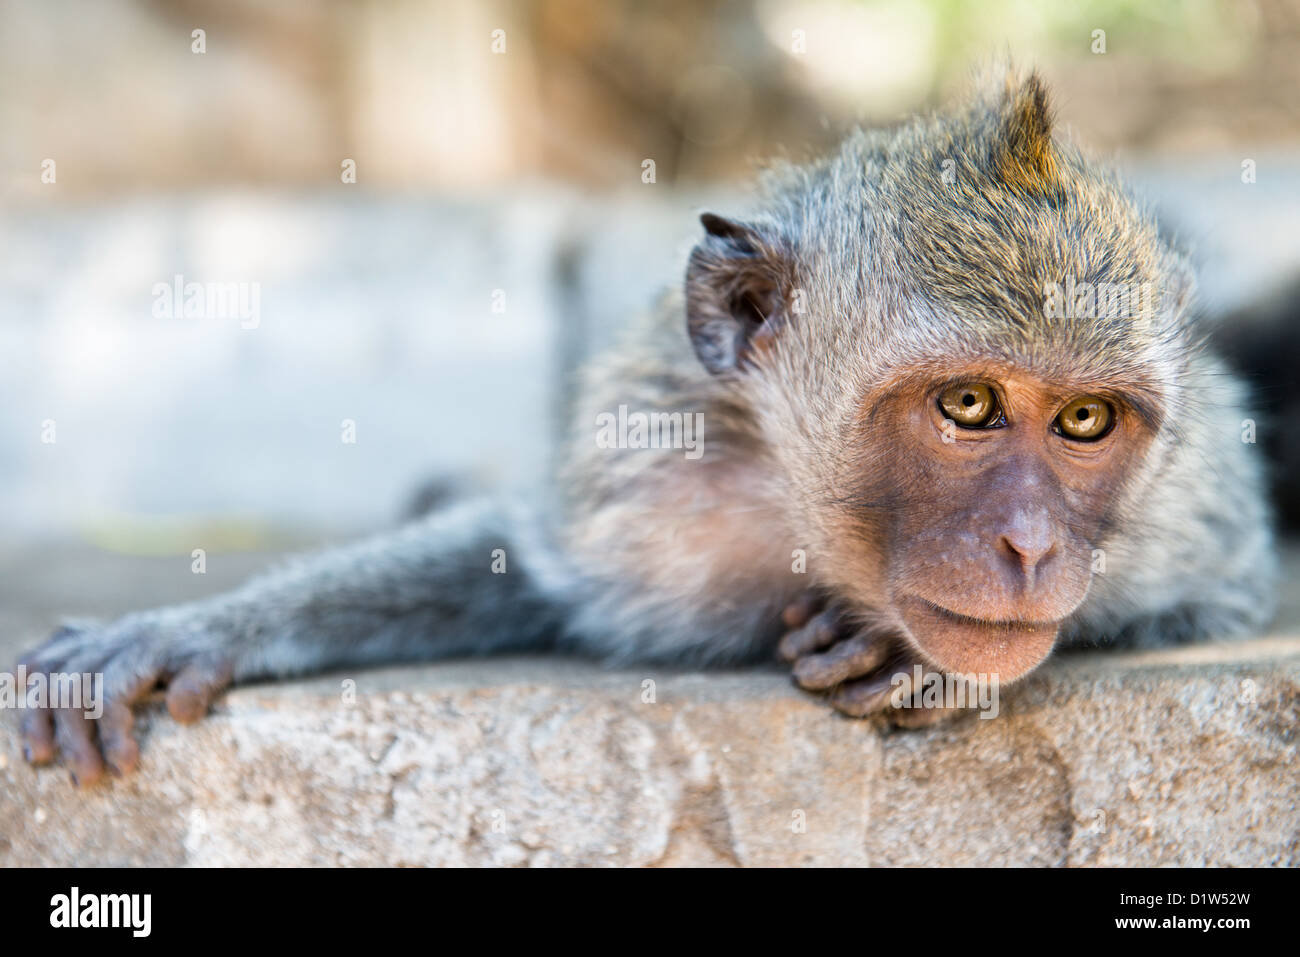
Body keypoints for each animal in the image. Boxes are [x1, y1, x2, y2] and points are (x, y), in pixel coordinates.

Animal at [15, 69, 1278, 786]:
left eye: (1083, 419)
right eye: (966, 405)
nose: (1031, 546)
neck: (805, 509)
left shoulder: (1179, 514)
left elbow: (1235, 594)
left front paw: (905, 657)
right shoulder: (646, 490)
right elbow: (517, 563)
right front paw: (199, 624)